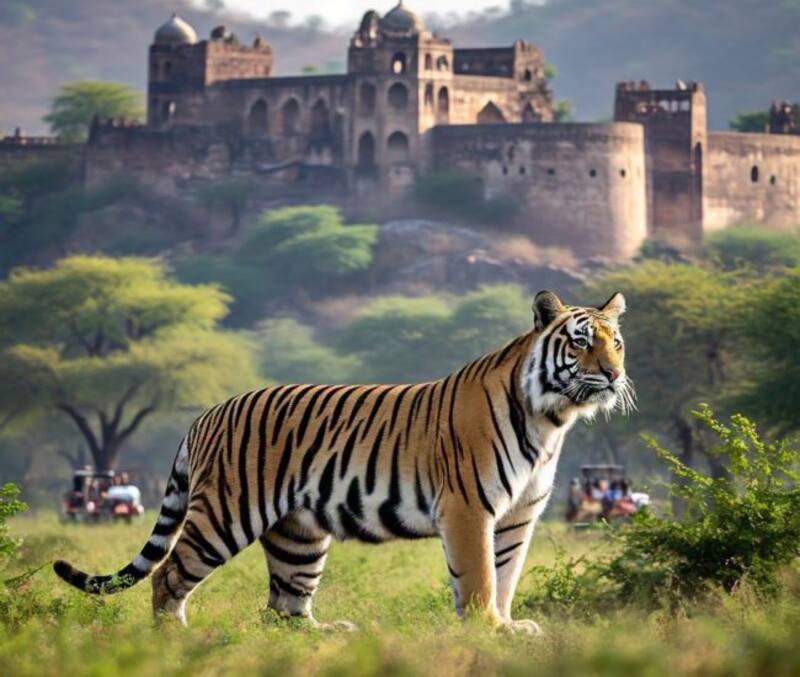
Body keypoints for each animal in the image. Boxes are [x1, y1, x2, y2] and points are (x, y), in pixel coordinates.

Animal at [53, 289, 633, 633]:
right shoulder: (469, 508)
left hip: (299, 532)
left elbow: (506, 571)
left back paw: (319, 635)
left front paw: (510, 627)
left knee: (283, 604)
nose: (612, 375)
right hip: (224, 514)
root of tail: (208, 412)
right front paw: (487, 630)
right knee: (168, 574)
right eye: (580, 343)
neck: (551, 418)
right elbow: (479, 575)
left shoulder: (518, 514)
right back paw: (174, 638)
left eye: (617, 343)